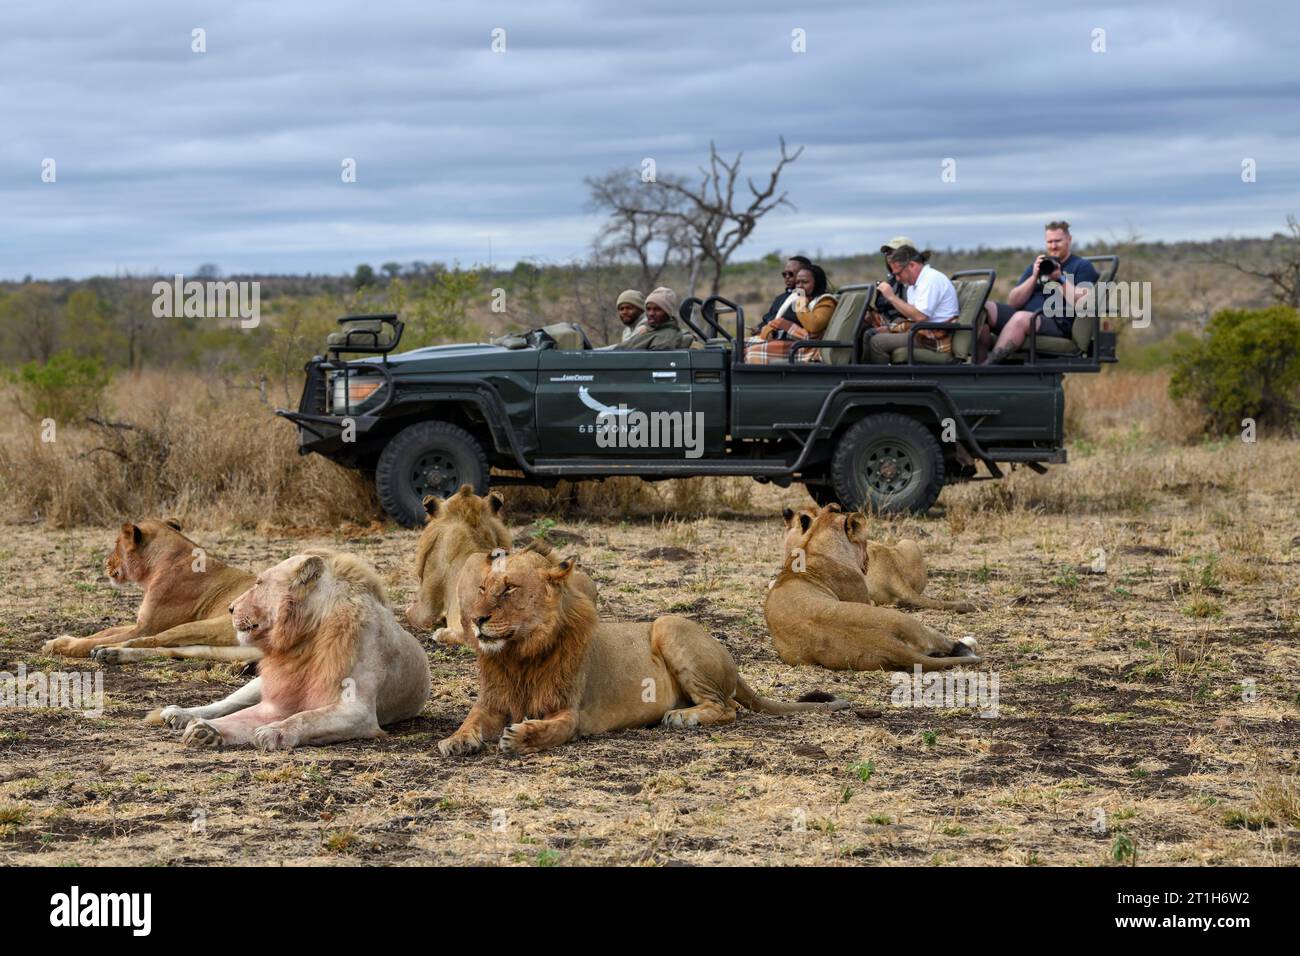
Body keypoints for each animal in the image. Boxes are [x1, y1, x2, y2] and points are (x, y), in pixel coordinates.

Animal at [41, 520, 259, 663]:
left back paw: (104, 650)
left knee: (148, 640)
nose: (105, 563)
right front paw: (60, 639)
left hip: (207, 625)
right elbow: (106, 630)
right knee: (168, 648)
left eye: (116, 544)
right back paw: (110, 654)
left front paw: (58, 645)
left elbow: (97, 640)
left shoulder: (146, 627)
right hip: (217, 647)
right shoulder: (140, 622)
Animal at [152, 549, 431, 750]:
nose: (230, 608)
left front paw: (274, 732)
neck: (307, 637)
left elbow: (304, 718)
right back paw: (180, 714)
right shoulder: (277, 700)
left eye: (259, 583)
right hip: (259, 683)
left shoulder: (357, 711)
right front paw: (205, 730)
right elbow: (240, 716)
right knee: (228, 702)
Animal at [437, 548, 848, 757]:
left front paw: (520, 737)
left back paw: (682, 718)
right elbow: (471, 720)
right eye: (482, 588)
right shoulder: (492, 702)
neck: (520, 654)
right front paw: (456, 741)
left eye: (509, 589)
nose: (475, 620)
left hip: (668, 625)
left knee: (726, 708)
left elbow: (552, 730)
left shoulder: (572, 712)